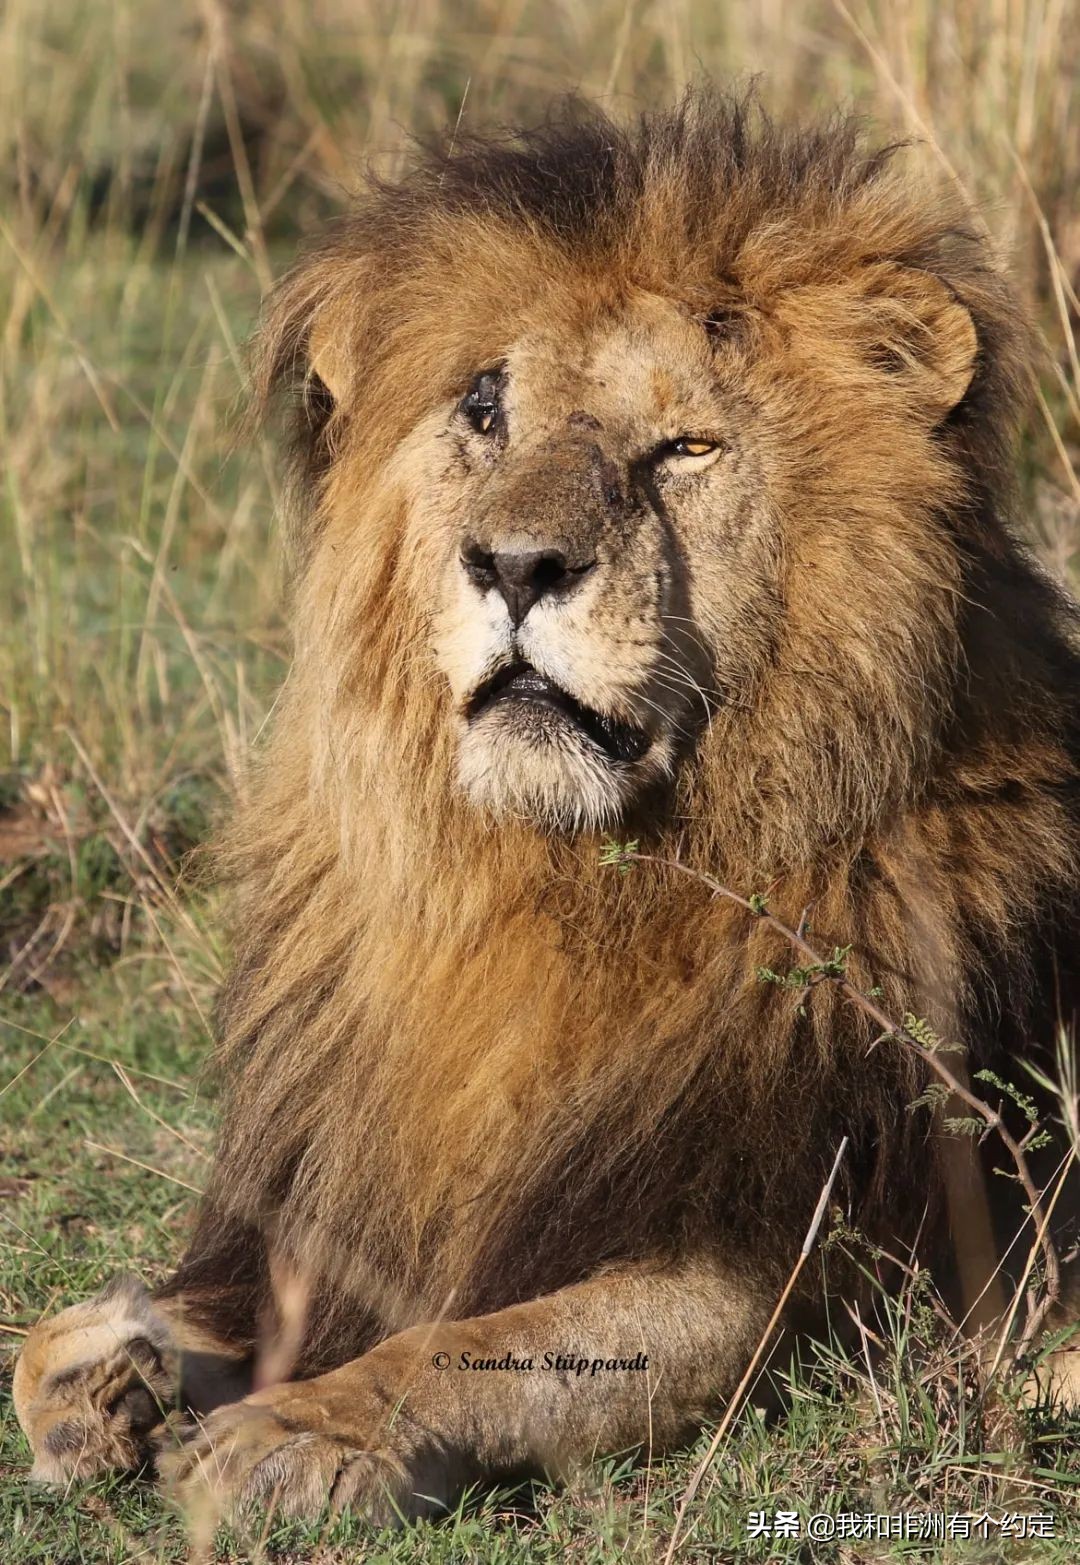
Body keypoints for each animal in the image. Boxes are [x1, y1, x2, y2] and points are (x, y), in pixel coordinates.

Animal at [14, 89, 1080, 1526]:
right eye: (485, 417)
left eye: (685, 448)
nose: (517, 564)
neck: (549, 884)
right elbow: (59, 1337)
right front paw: (111, 1366)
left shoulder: (802, 1260)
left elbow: (480, 1341)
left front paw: (305, 1432)